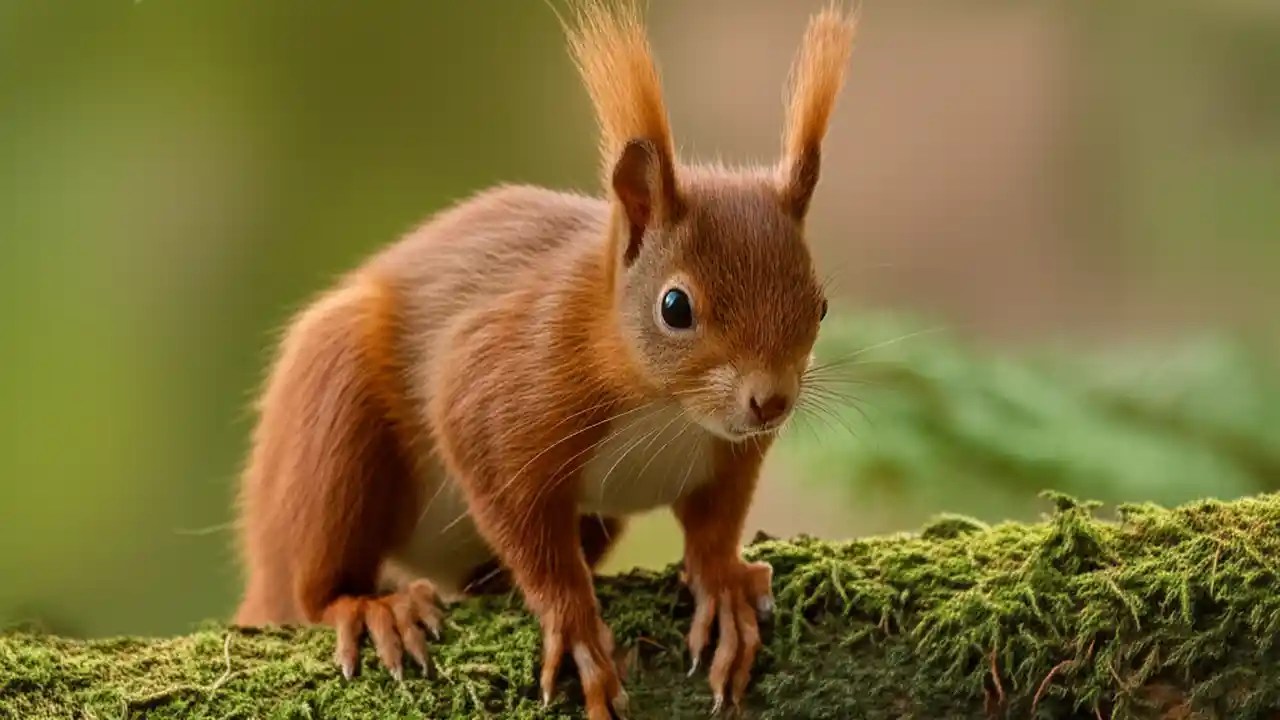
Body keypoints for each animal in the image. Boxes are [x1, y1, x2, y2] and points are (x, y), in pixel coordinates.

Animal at [231, 1, 857, 717]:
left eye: (820, 306)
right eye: (675, 306)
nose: (770, 401)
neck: (664, 407)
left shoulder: (727, 454)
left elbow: (714, 524)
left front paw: (723, 583)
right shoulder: (500, 386)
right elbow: (528, 530)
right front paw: (575, 623)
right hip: (331, 428)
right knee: (312, 587)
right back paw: (368, 606)